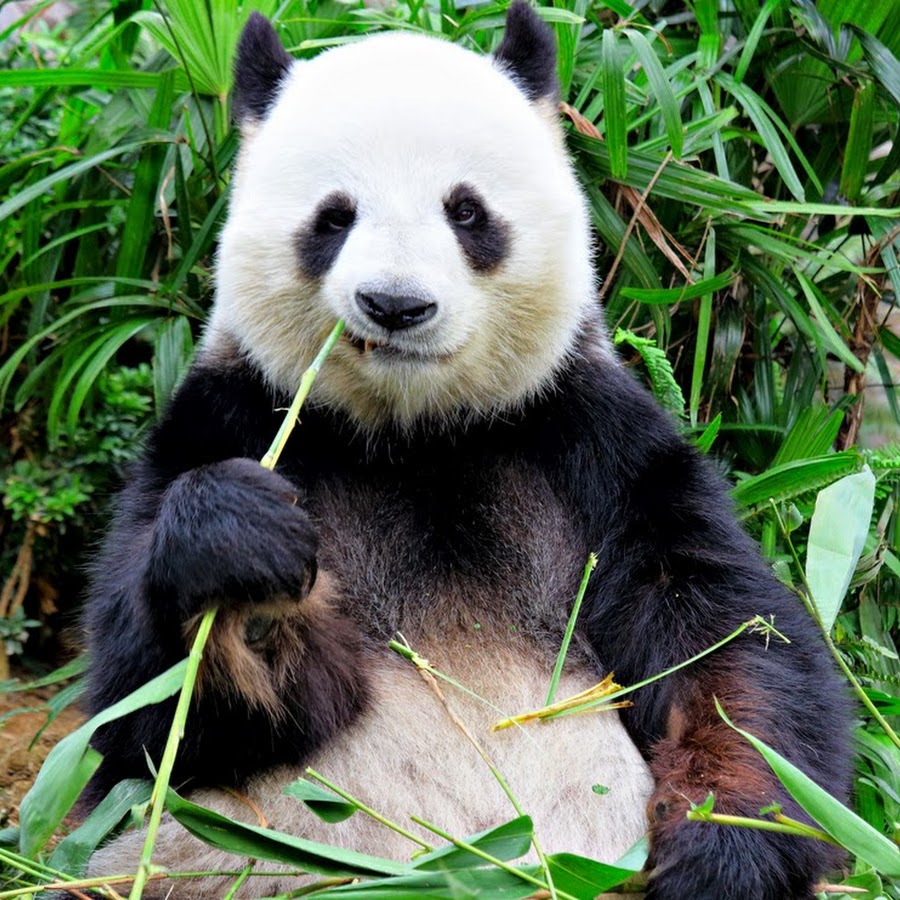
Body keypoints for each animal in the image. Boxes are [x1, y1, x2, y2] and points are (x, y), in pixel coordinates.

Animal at [82, 5, 850, 899]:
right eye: (334, 216)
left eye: (467, 212)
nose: (395, 305)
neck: (415, 432)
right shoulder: (228, 417)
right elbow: (150, 718)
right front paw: (242, 563)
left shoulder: (591, 439)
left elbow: (727, 643)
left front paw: (725, 850)